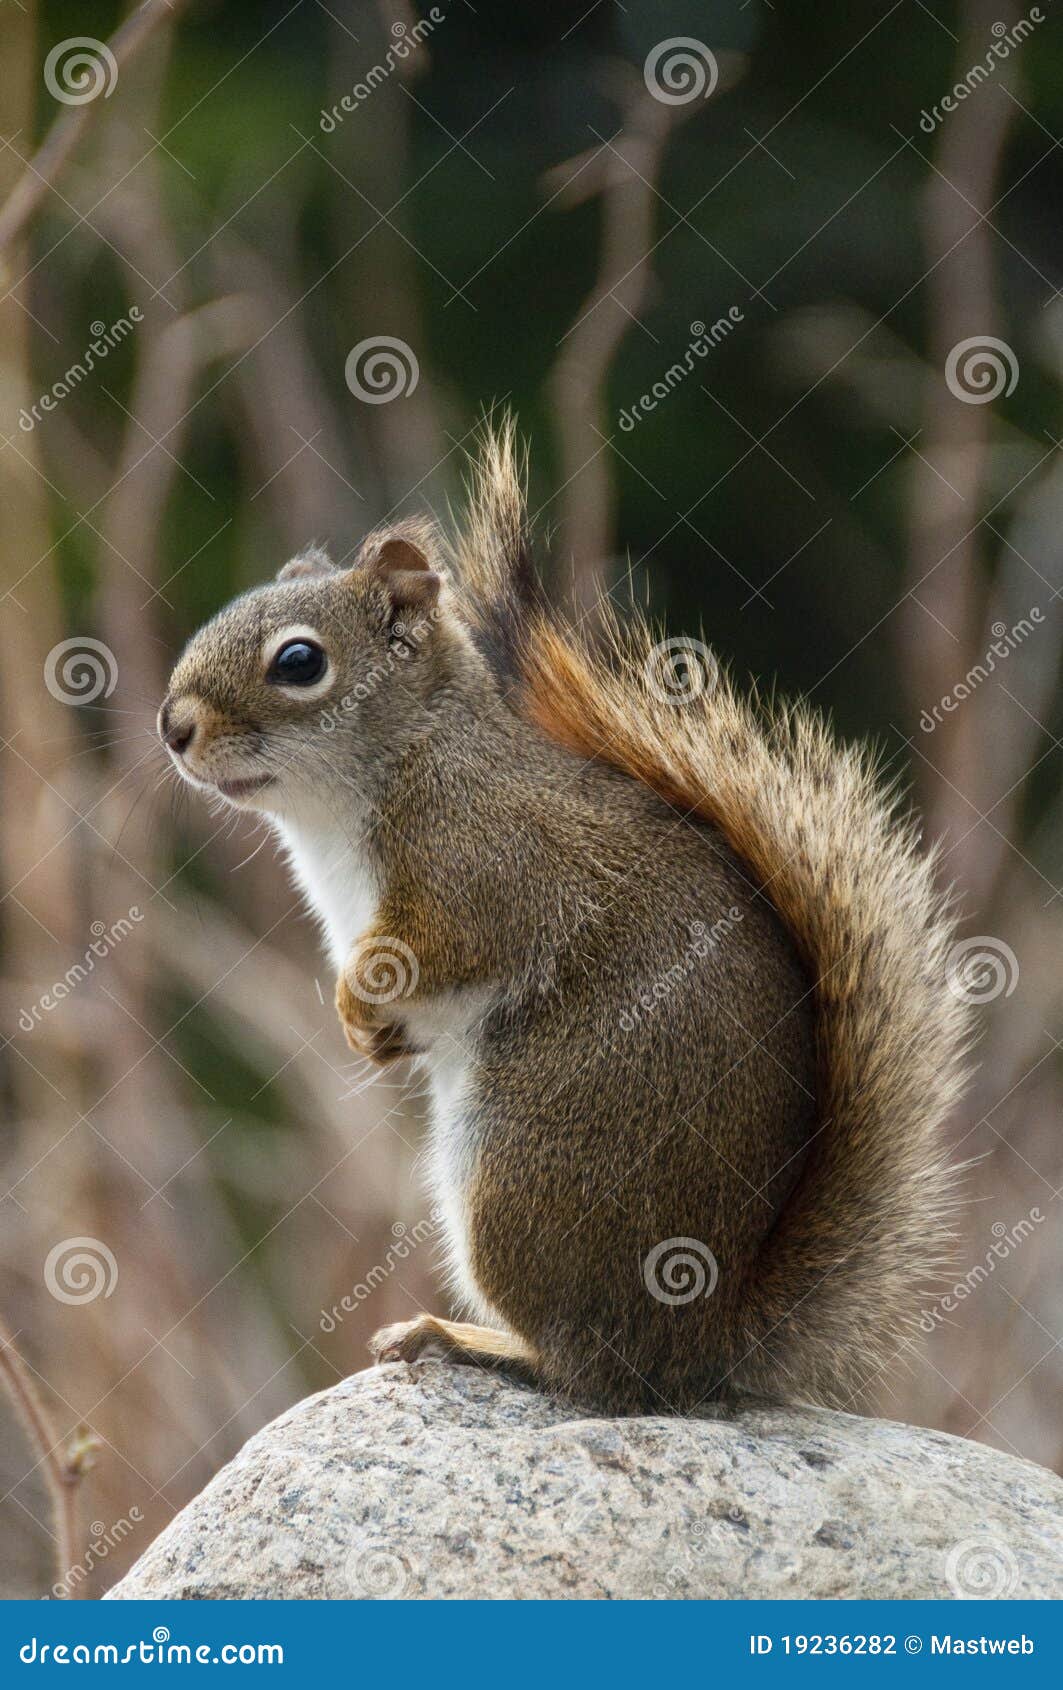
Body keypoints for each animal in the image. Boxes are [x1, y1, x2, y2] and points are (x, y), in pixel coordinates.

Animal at [159, 426, 969, 1415]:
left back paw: (468, 1338)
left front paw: (357, 1007)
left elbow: (447, 948)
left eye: (300, 662)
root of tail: (699, 1351)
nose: (172, 727)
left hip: (522, 1170)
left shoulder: (485, 867)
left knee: (585, 1370)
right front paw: (367, 1034)